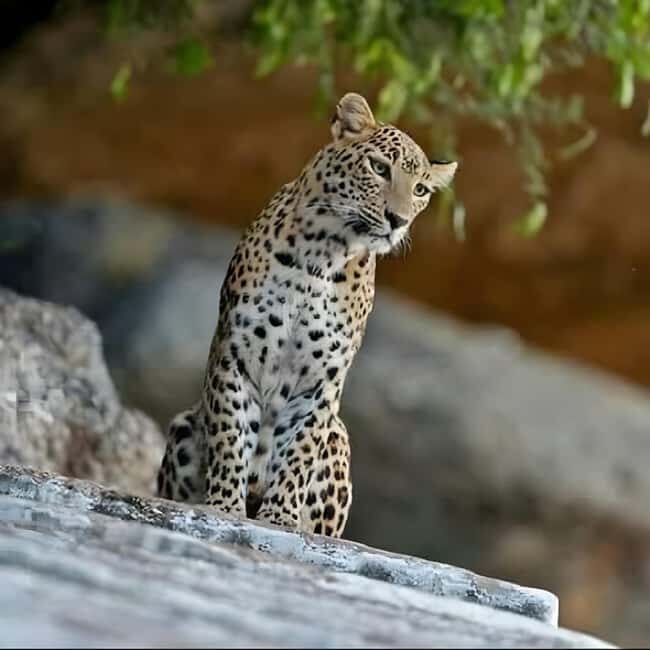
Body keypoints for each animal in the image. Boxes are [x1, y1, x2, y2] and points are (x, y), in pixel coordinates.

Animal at [156, 92, 457, 537]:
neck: (322, 255)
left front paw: (280, 517)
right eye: (379, 168)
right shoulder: (236, 353)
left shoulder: (323, 379)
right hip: (184, 424)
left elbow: (299, 448)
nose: (398, 221)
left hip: (339, 438)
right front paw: (224, 505)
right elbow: (231, 433)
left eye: (420, 189)